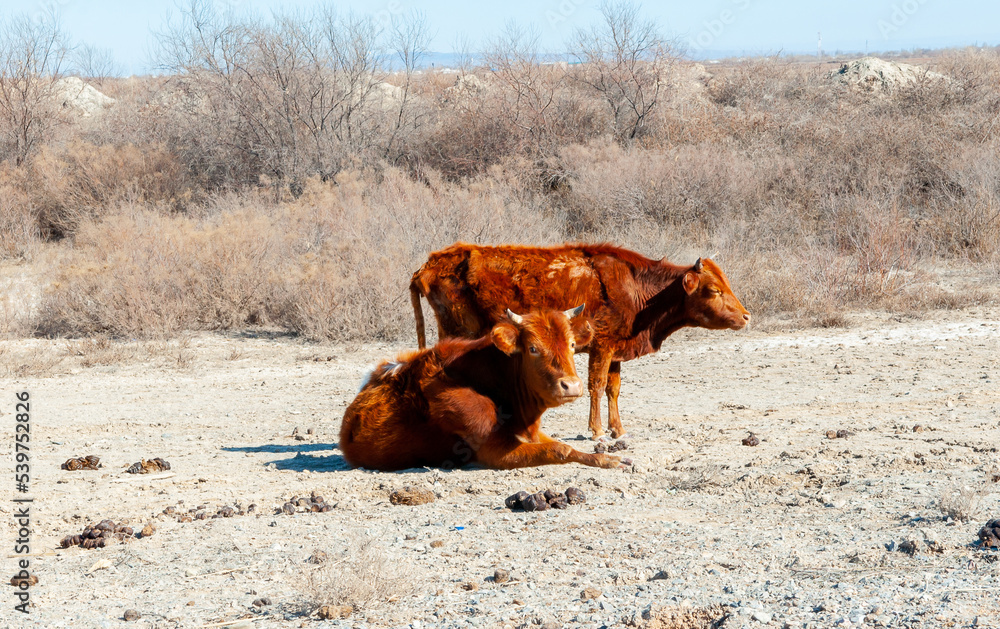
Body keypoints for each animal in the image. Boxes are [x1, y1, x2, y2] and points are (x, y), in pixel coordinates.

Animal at [339, 306, 631, 471]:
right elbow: (560, 450)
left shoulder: (529, 432)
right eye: (533, 348)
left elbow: (564, 446)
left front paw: (607, 459)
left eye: (571, 345)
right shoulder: (496, 449)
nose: (571, 385)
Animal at [409, 243, 750, 440]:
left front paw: (618, 430)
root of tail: (431, 264)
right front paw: (597, 431)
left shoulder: (615, 350)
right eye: (714, 290)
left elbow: (613, 388)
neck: (635, 287)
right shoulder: (601, 346)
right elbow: (596, 386)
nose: (746, 316)